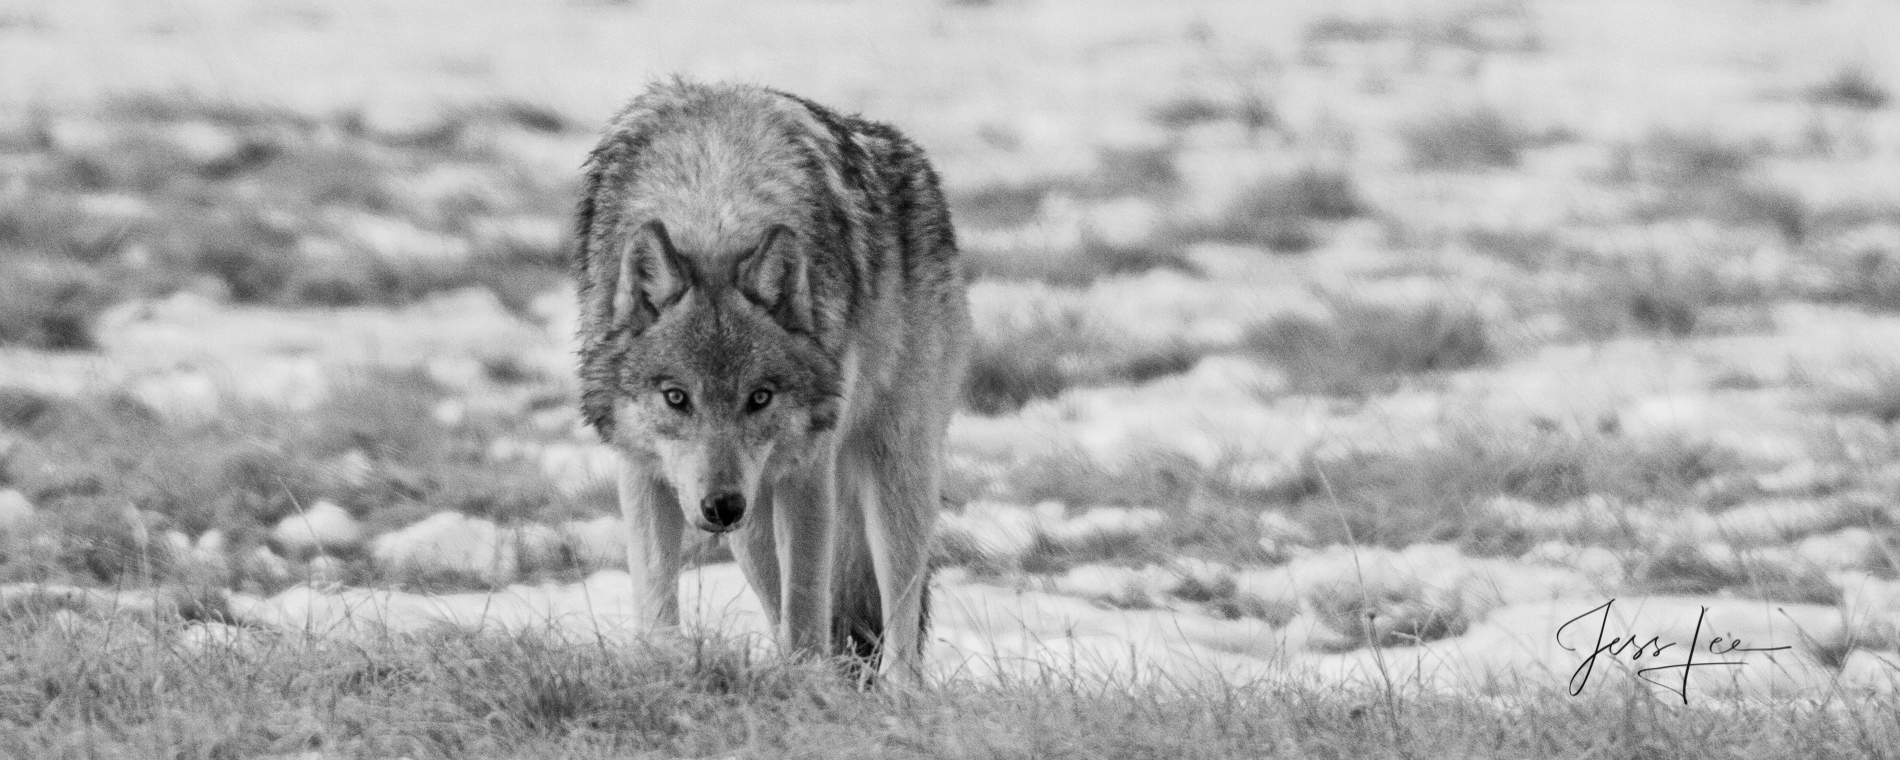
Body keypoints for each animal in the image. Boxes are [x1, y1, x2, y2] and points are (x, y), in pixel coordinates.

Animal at [573, 79, 969, 683]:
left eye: (759, 397)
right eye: (676, 398)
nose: (721, 506)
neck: (712, 211)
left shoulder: (808, 472)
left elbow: (806, 603)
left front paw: (809, 684)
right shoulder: (642, 469)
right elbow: (657, 594)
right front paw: (662, 667)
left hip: (893, 477)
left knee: (897, 618)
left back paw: (901, 692)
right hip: (753, 531)